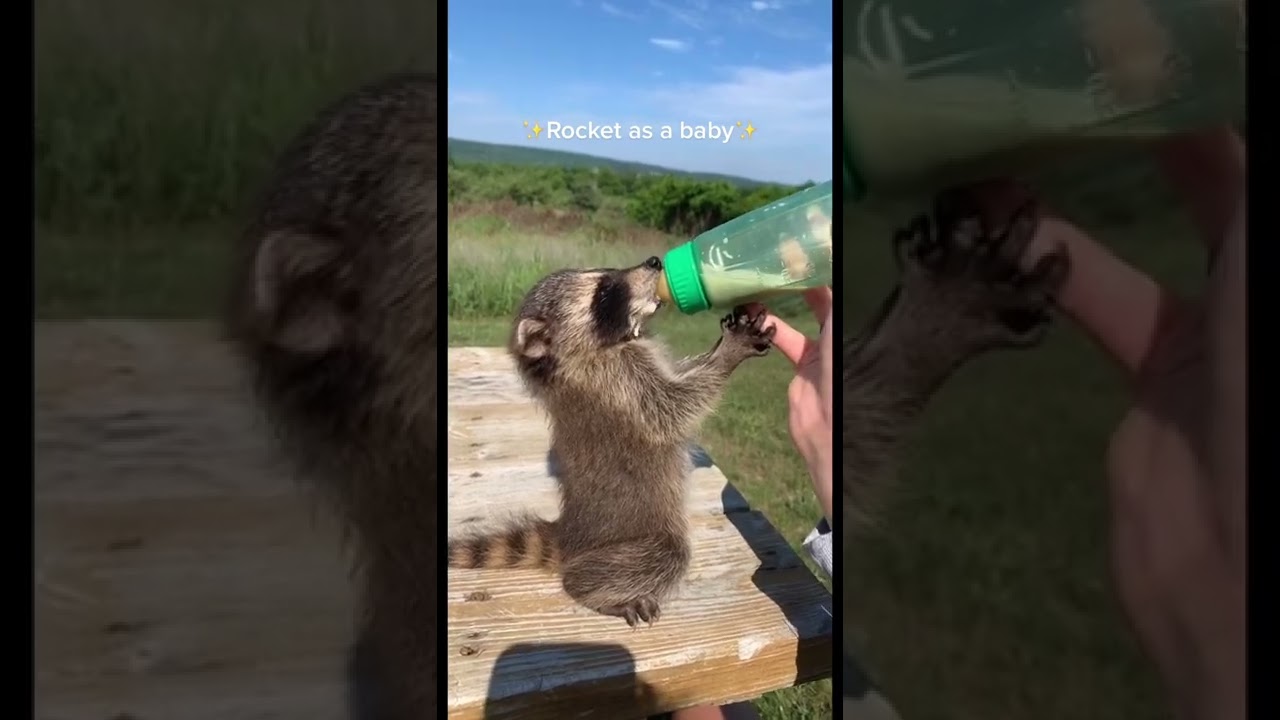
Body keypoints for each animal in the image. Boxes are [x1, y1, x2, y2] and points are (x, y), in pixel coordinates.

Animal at [447, 257, 775, 626]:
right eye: (604, 291)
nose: (655, 261)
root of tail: (569, 535)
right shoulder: (620, 383)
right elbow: (673, 410)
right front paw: (727, 355)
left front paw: (718, 348)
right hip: (634, 538)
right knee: (665, 554)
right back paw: (592, 591)